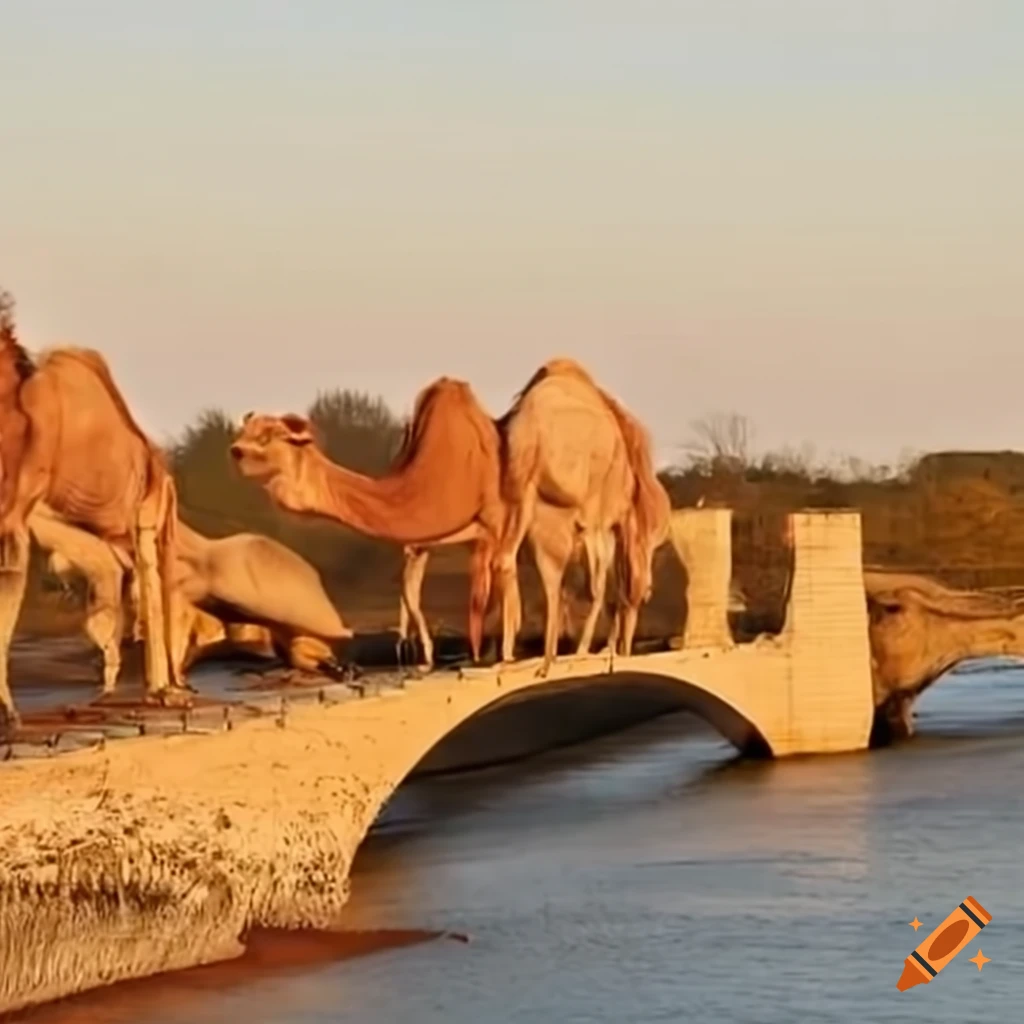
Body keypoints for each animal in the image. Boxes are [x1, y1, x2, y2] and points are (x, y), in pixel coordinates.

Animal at [229, 377, 505, 664]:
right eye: (243, 433)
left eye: (266, 437)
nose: (235, 450)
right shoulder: (422, 541)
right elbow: (410, 592)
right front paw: (424, 657)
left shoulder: (494, 523)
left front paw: (493, 656)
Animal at [493, 358, 668, 670]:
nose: (646, 591)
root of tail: (530, 428)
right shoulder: (598, 521)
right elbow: (600, 588)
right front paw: (594, 650)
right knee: (585, 585)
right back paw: (560, 656)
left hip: (525, 502)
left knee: (514, 563)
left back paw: (520, 656)